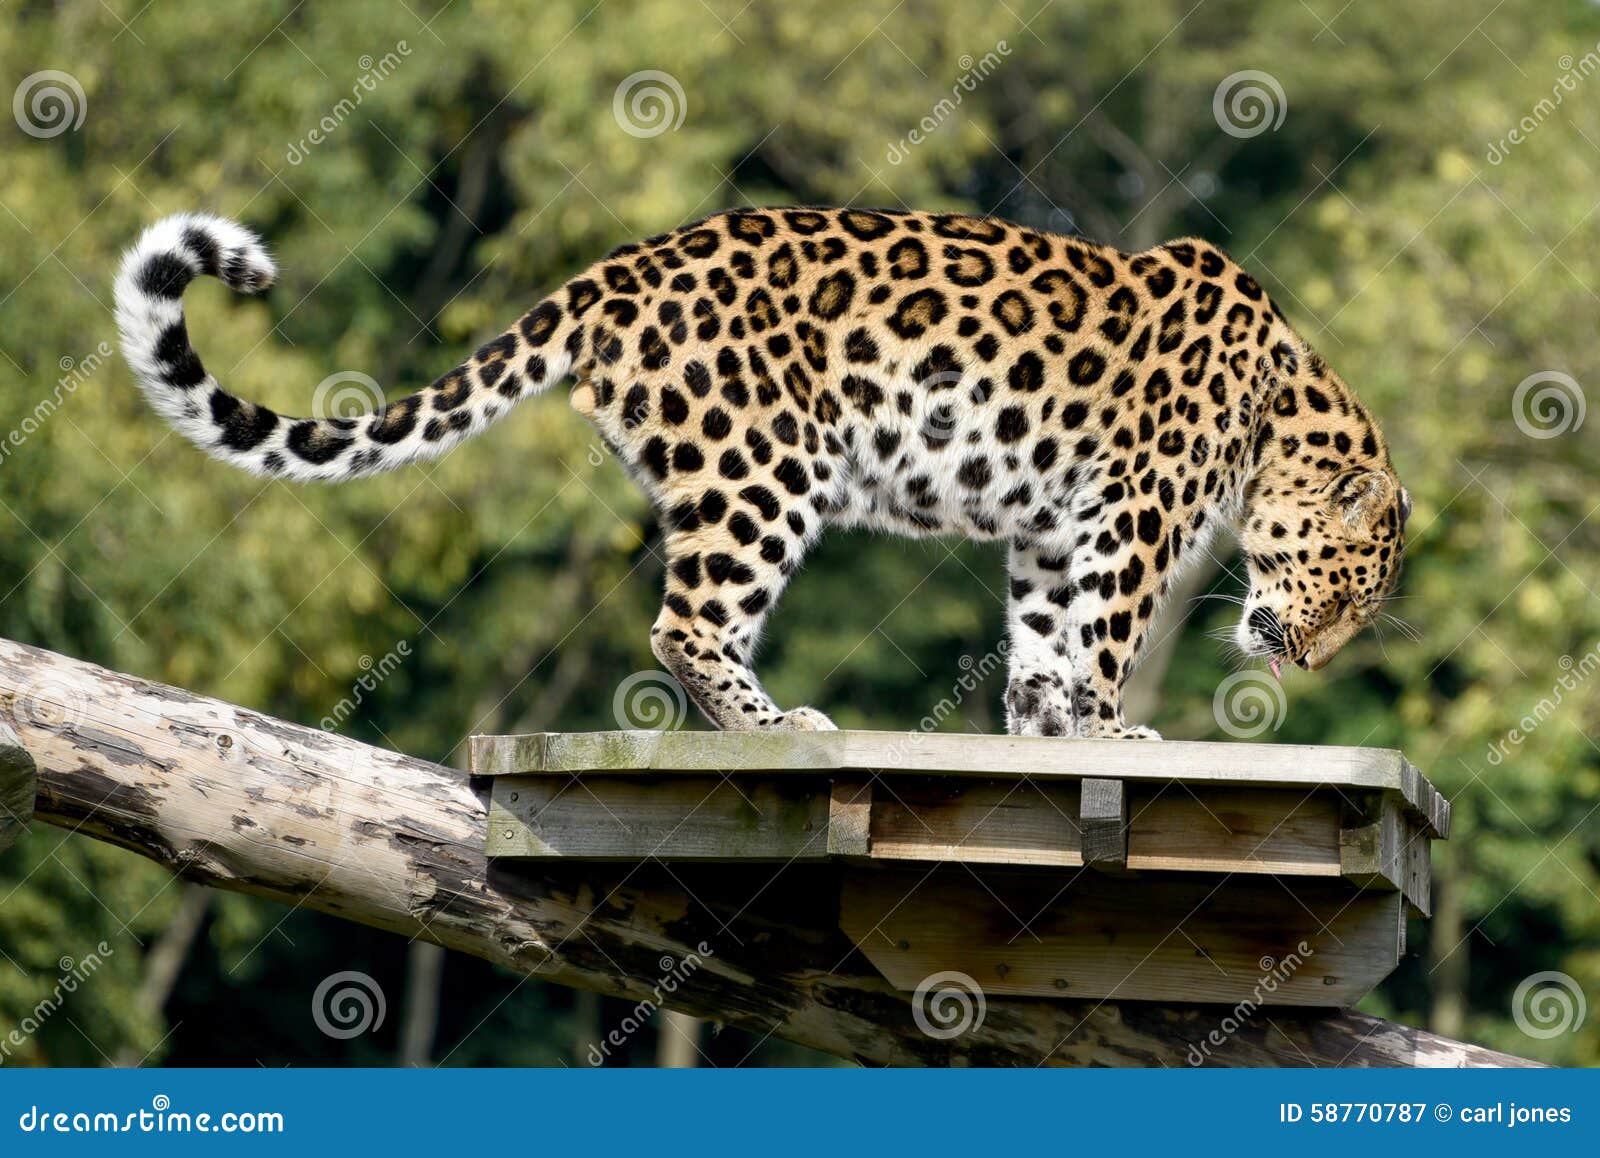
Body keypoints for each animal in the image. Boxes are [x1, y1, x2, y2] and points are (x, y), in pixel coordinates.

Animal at [114, 206, 1411, 739]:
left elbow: (1045, 650)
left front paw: (1050, 737)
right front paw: (1114, 734)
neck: (1280, 414)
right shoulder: (1130, 522)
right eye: (1347, 595)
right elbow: (1103, 645)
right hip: (761, 472)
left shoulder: (1052, 532)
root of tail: (620, 269)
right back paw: (774, 721)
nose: (1310, 659)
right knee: (682, 625)